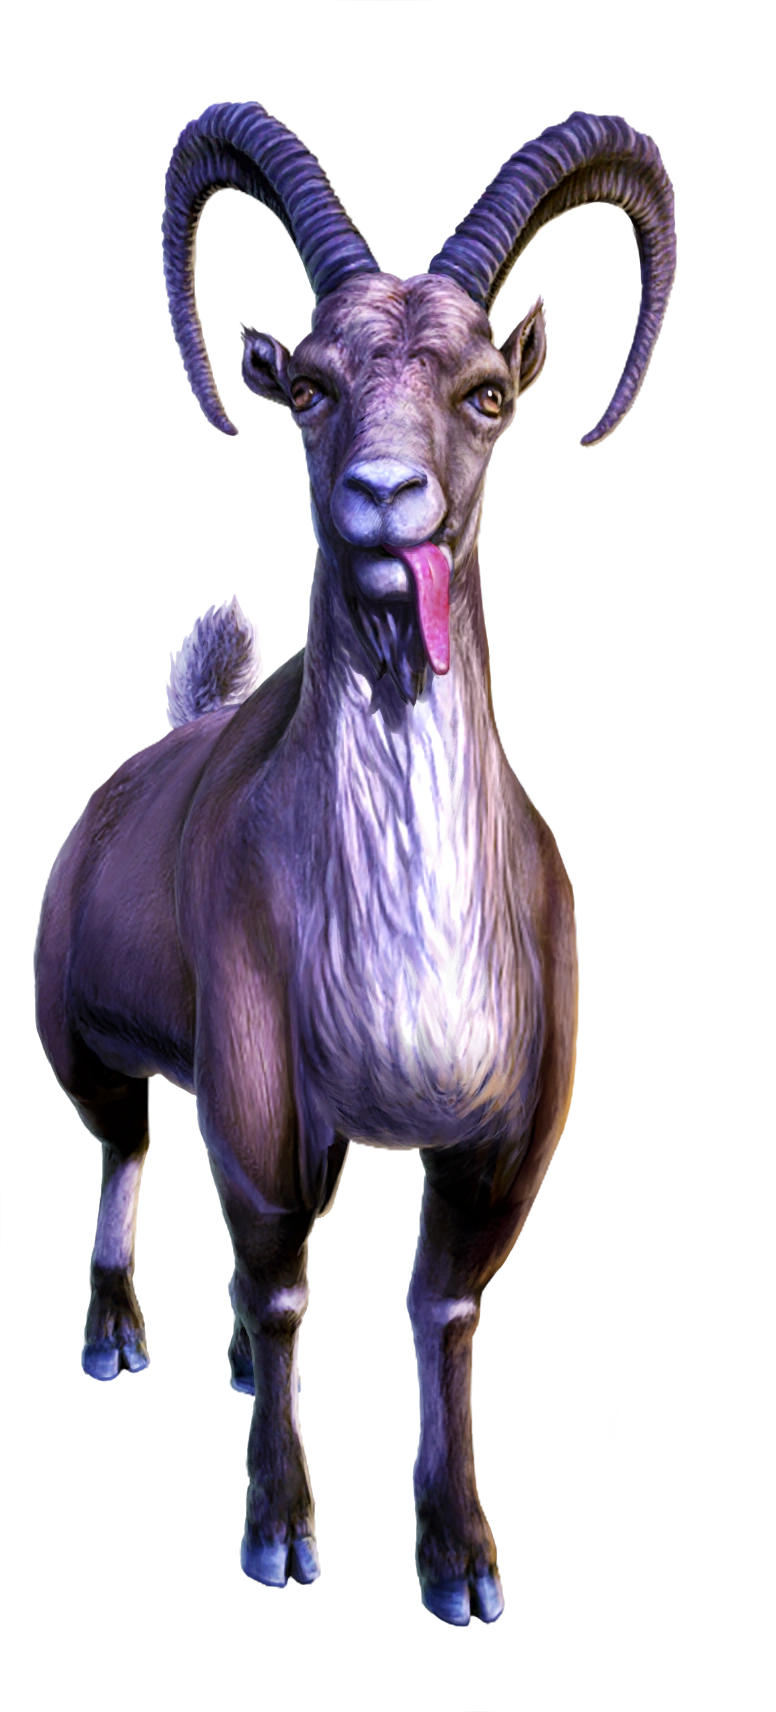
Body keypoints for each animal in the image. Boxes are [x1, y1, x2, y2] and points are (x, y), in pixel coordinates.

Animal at [33, 101, 676, 1628]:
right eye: (312, 386)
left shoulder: (508, 1132)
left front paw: (464, 1562)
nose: (389, 500)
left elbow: (446, 1306)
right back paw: (118, 1333)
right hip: (83, 1032)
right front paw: (280, 1534)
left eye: (486, 391)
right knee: (119, 1144)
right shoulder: (266, 1100)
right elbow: (279, 1289)